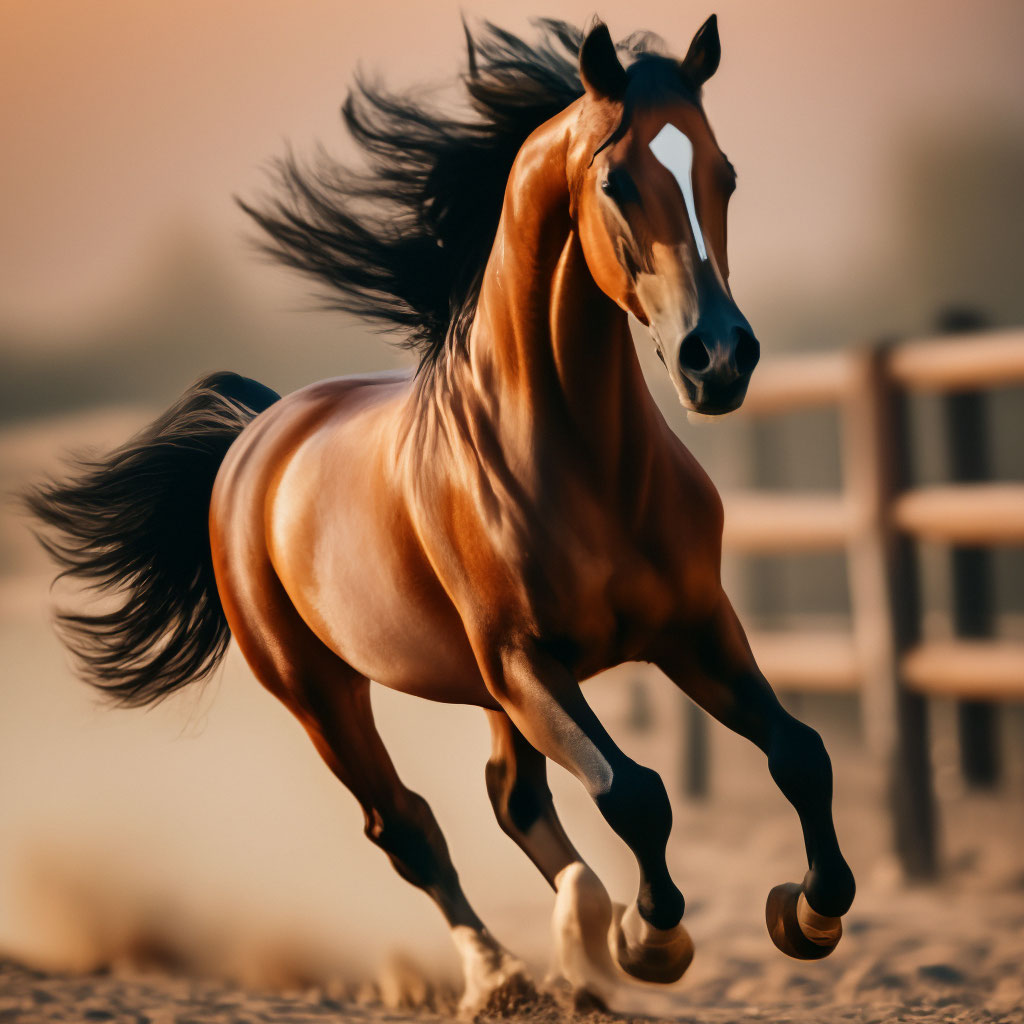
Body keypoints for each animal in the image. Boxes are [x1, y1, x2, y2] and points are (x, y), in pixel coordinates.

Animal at [27, 15, 855, 1015]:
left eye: (723, 173)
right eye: (616, 181)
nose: (720, 358)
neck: (584, 463)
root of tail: (258, 430)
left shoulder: (695, 627)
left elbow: (800, 752)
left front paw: (808, 914)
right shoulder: (523, 660)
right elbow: (636, 793)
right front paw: (650, 940)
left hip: (488, 694)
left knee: (514, 799)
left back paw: (576, 948)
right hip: (320, 689)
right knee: (406, 825)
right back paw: (507, 972)